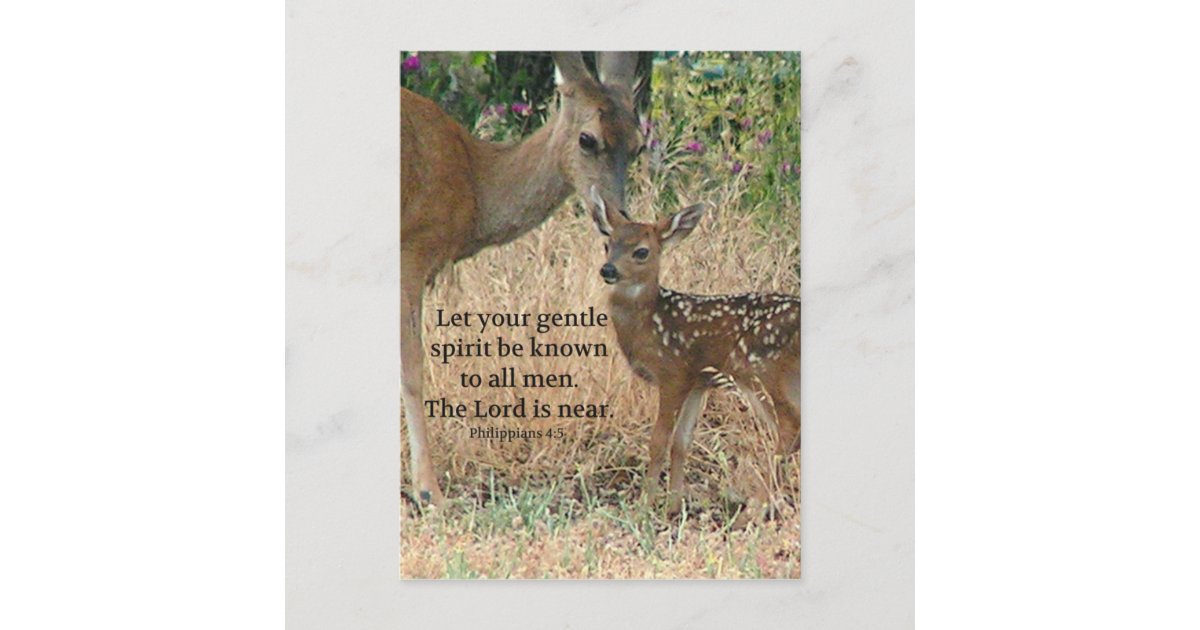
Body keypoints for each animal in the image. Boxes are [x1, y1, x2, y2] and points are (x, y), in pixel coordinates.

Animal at [401, 52, 644, 505]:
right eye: (587, 139)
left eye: (638, 144)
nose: (616, 218)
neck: (477, 182)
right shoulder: (412, 249)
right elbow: (412, 368)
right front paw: (429, 491)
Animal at [588, 189, 801, 506]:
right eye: (607, 244)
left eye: (641, 252)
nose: (608, 269)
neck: (649, 324)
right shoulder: (699, 381)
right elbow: (681, 443)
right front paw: (674, 505)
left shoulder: (673, 373)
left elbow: (658, 441)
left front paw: (646, 504)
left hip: (761, 370)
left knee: (789, 428)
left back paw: (756, 506)